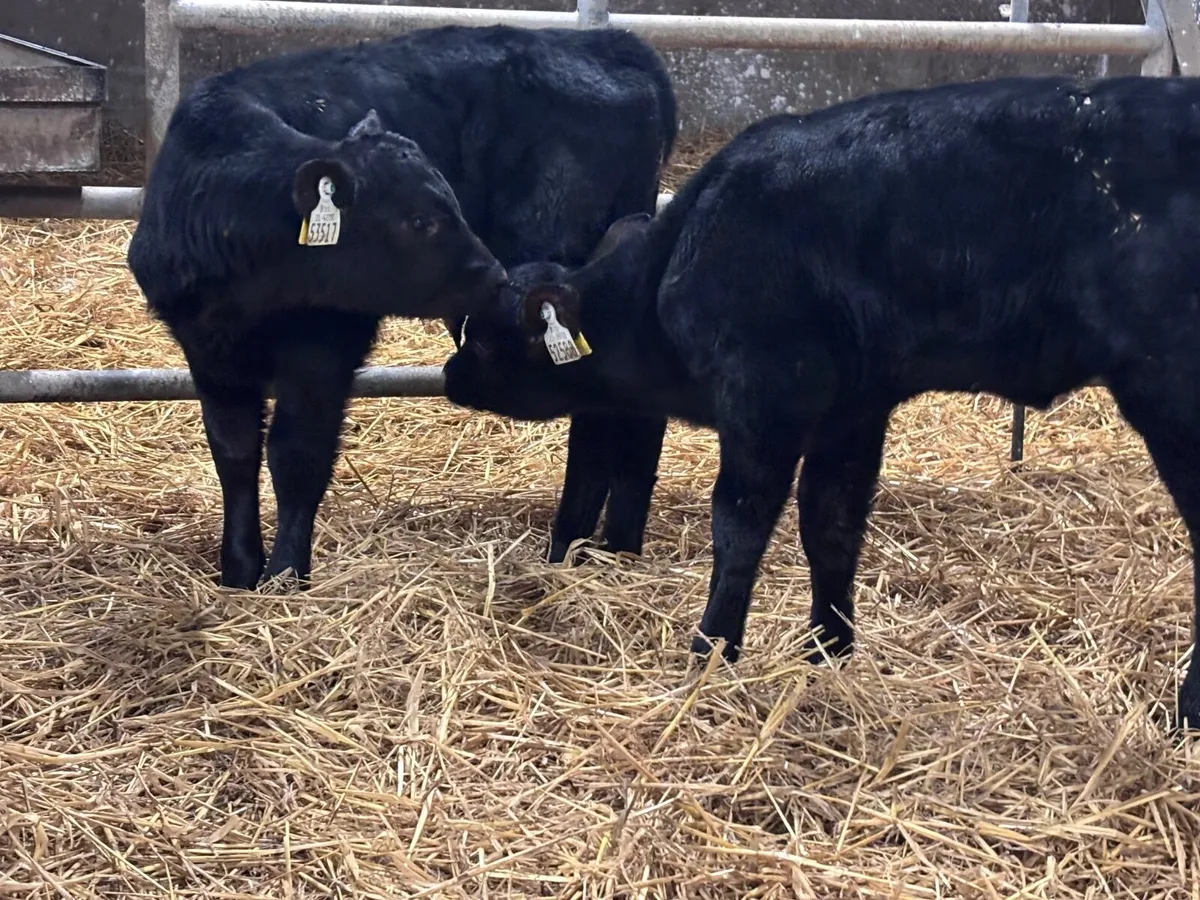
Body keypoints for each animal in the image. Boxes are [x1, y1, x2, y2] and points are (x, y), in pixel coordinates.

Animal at [127, 24, 677, 590]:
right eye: (419, 221)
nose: (493, 274)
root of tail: (603, 41)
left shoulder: (324, 343)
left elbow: (296, 454)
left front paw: (286, 574)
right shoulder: (206, 349)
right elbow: (233, 451)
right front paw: (238, 570)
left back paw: (578, 547)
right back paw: (607, 546)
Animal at [441, 74, 1200, 732]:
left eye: (486, 338)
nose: (449, 372)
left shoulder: (765, 394)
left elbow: (740, 525)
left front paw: (711, 652)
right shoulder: (854, 410)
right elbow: (830, 525)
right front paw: (828, 651)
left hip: (1170, 391)